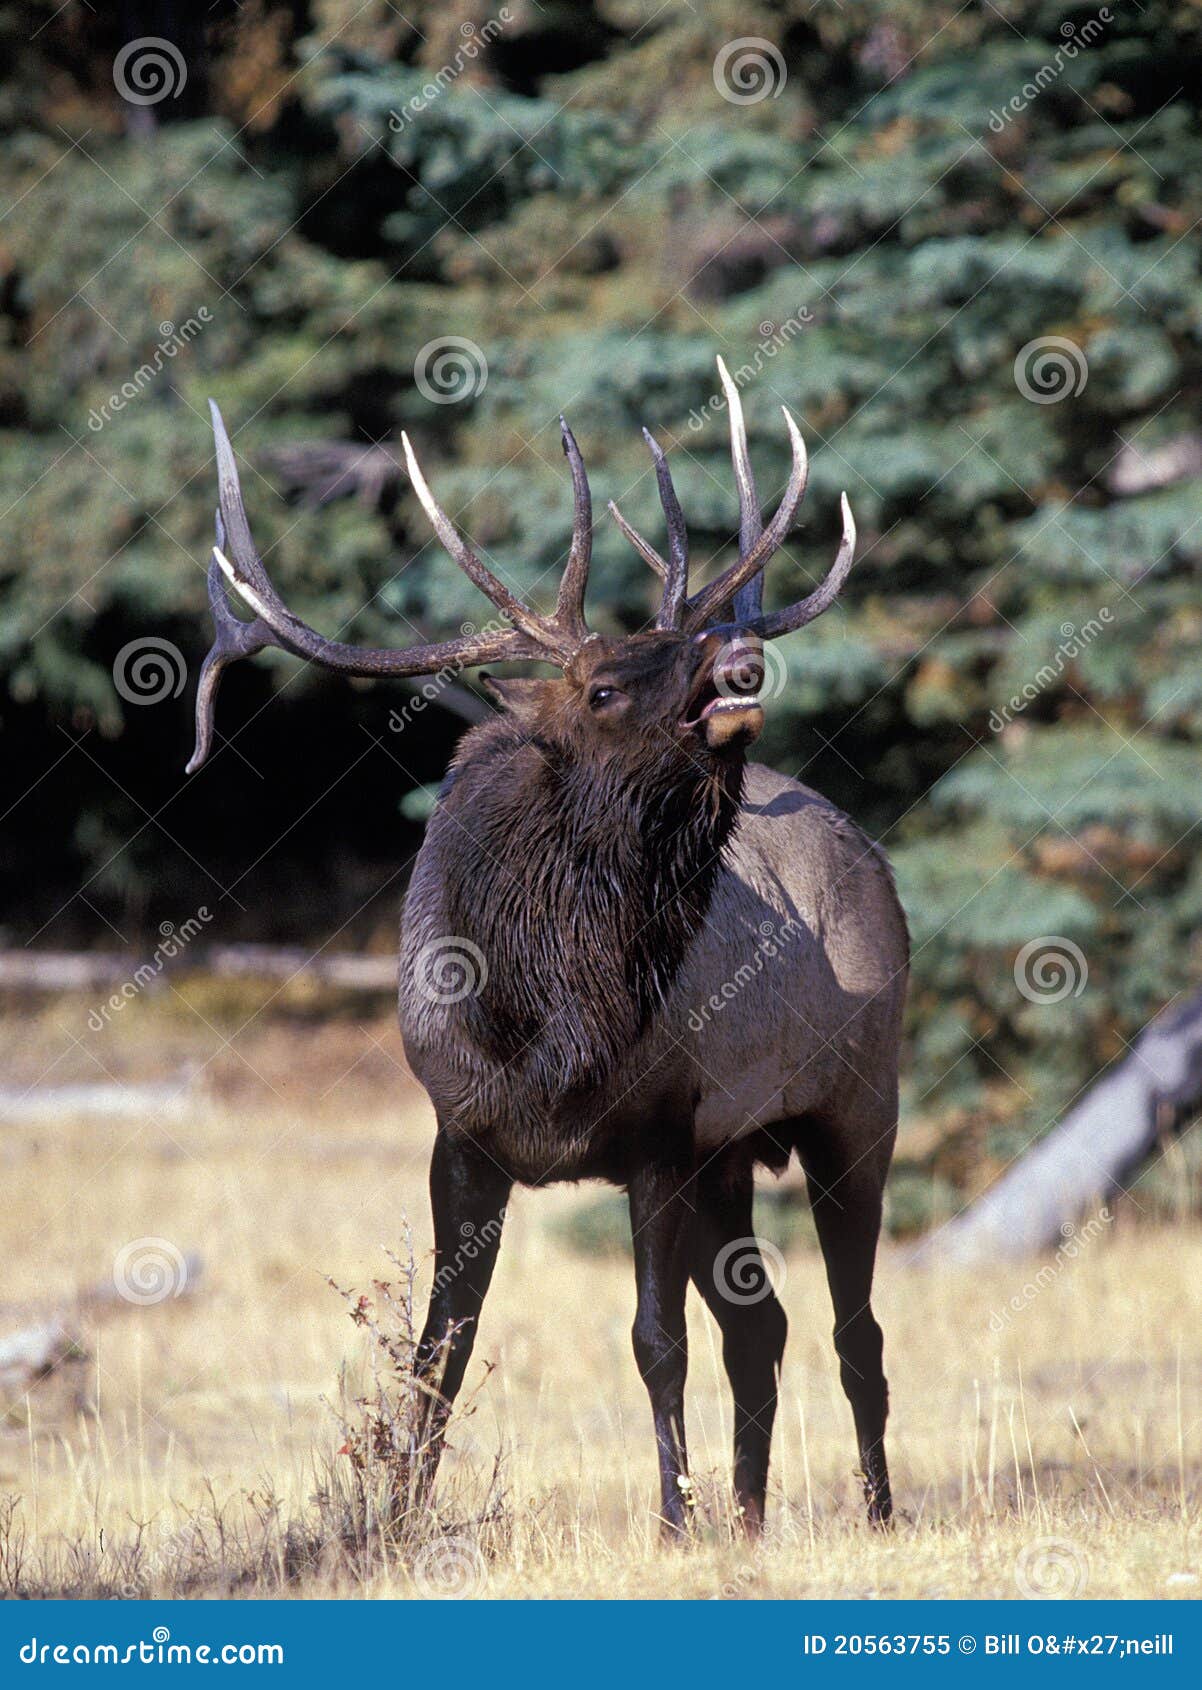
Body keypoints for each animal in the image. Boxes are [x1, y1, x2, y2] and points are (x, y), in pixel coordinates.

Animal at [186, 358, 909, 1539]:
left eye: (669, 647)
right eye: (604, 685)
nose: (738, 649)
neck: (538, 1018)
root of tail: (871, 856)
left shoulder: (659, 1130)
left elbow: (653, 1342)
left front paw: (672, 1523)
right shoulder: (463, 1134)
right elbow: (439, 1350)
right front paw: (397, 1522)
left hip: (853, 1103)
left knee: (858, 1329)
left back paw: (876, 1513)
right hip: (731, 1154)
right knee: (764, 1327)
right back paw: (753, 1515)